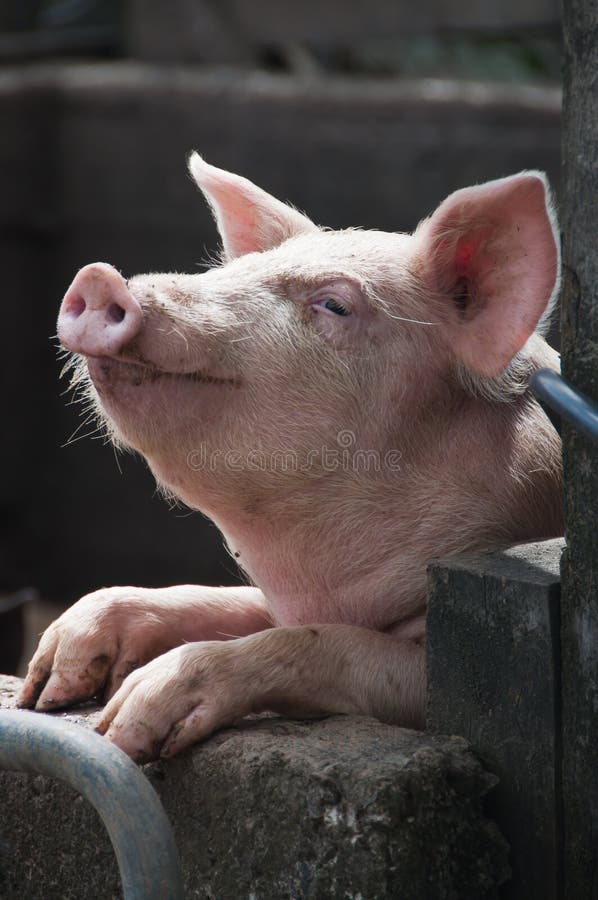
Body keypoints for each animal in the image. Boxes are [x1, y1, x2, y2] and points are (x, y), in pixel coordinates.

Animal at [18, 155, 563, 763]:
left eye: (335, 305)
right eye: (241, 268)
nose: (99, 277)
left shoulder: (446, 685)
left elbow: (326, 645)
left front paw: (120, 728)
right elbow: (225, 603)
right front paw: (46, 688)